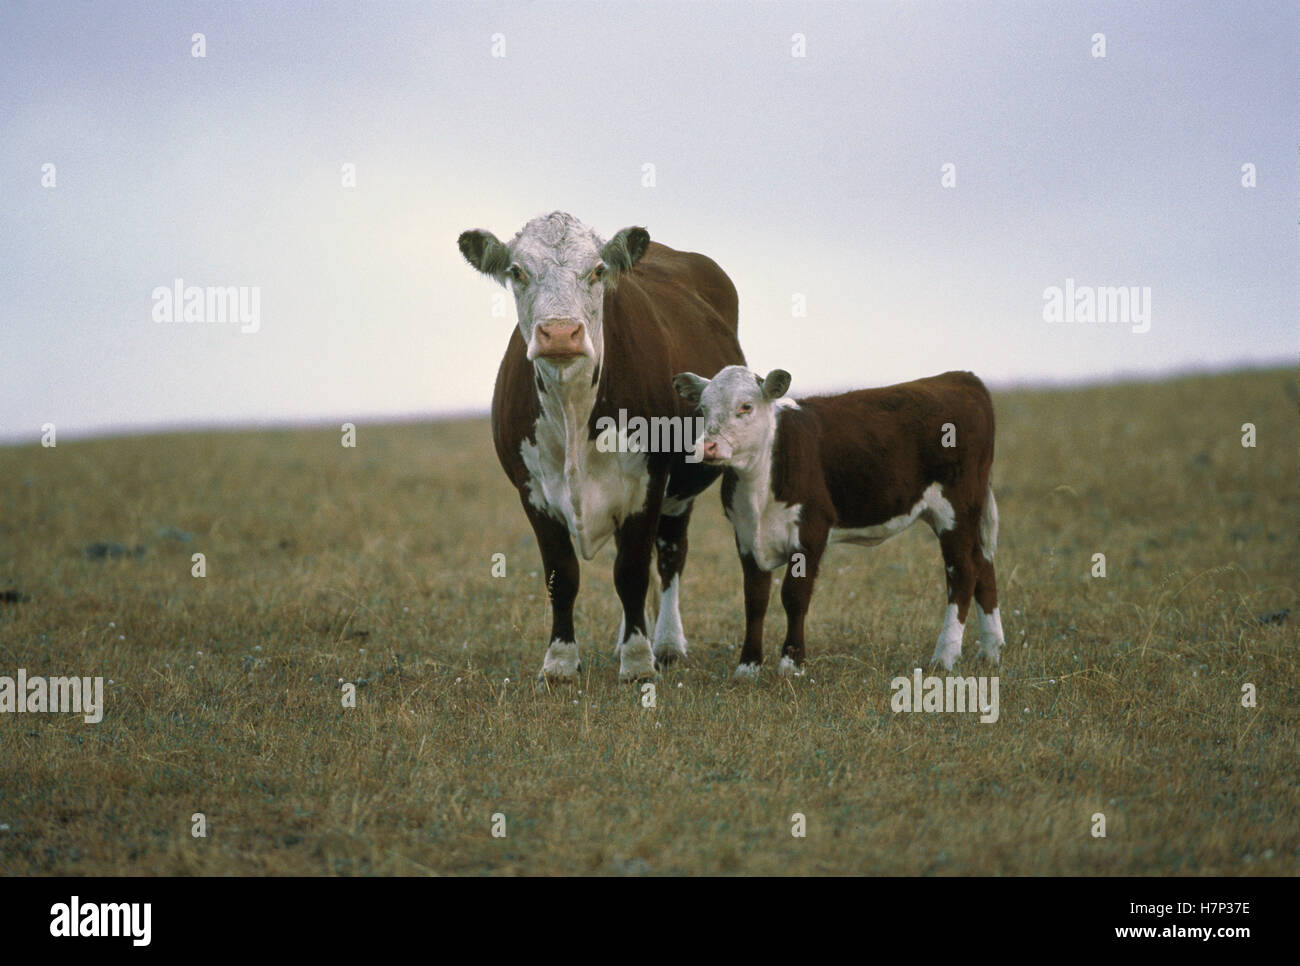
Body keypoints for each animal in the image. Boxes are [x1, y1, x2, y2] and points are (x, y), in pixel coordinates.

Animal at [458, 212, 744, 683]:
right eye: (517, 271)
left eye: (596, 270)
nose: (559, 333)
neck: (572, 408)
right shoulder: (531, 490)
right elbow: (562, 574)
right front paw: (559, 663)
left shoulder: (649, 482)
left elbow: (631, 572)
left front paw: (639, 662)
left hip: (678, 492)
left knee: (669, 557)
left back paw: (666, 642)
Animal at [672, 365, 1005, 677]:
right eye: (702, 408)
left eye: (746, 406)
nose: (707, 447)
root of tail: (960, 377)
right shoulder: (745, 536)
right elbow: (755, 600)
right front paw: (748, 666)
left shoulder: (811, 530)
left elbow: (794, 596)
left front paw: (792, 663)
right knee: (983, 565)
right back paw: (990, 651)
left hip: (957, 508)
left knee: (963, 573)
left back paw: (945, 656)